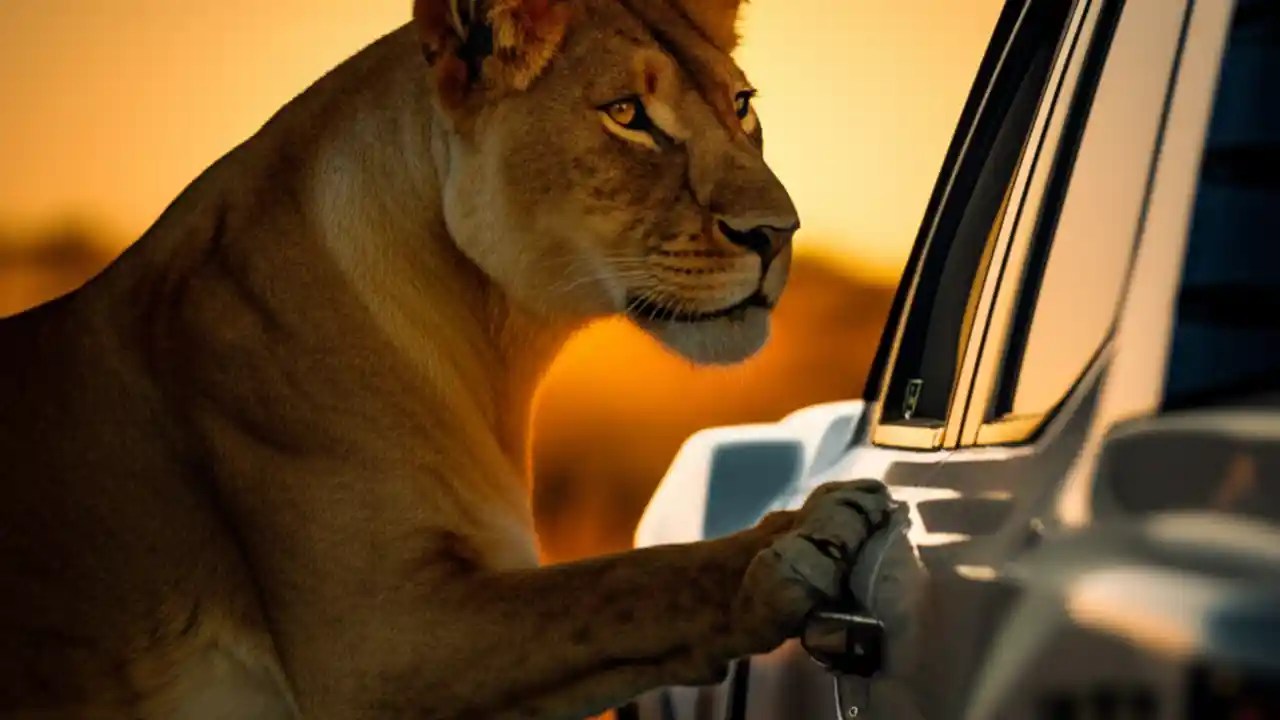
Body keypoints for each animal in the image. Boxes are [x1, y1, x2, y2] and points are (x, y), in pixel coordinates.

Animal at [0, 1, 892, 717]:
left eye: (740, 106)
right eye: (627, 113)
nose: (779, 233)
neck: (494, 345)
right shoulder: (378, 644)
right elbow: (623, 584)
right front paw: (793, 539)